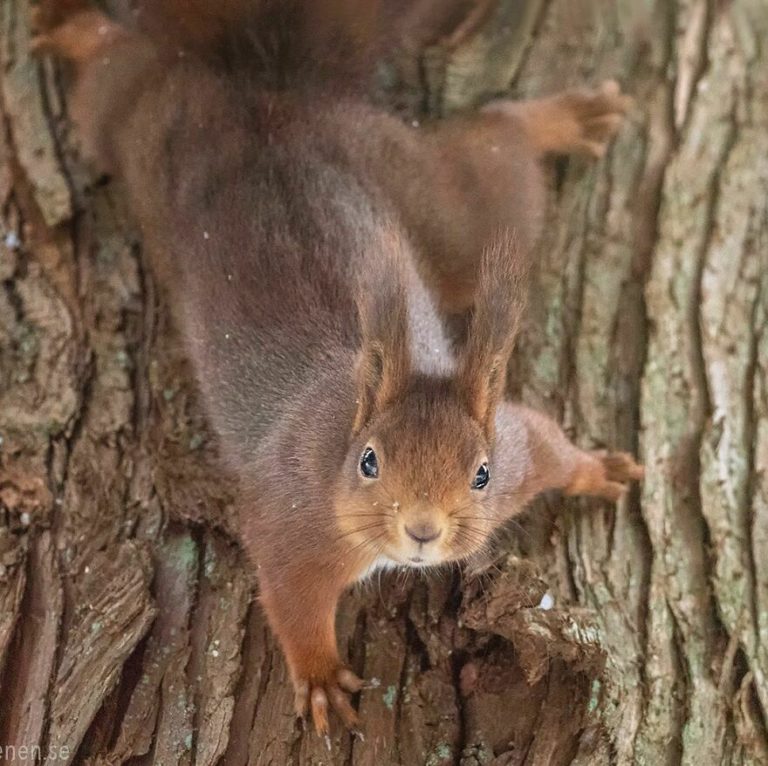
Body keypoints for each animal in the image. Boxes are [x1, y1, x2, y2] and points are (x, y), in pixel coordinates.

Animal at [32, 0, 642, 739]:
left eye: (481, 473)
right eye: (369, 462)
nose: (422, 531)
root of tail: (267, 98)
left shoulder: (517, 450)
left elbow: (549, 444)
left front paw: (596, 468)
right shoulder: (291, 517)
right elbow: (290, 596)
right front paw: (320, 675)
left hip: (421, 193)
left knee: (492, 152)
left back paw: (562, 119)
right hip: (137, 120)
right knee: (111, 70)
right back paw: (72, 29)